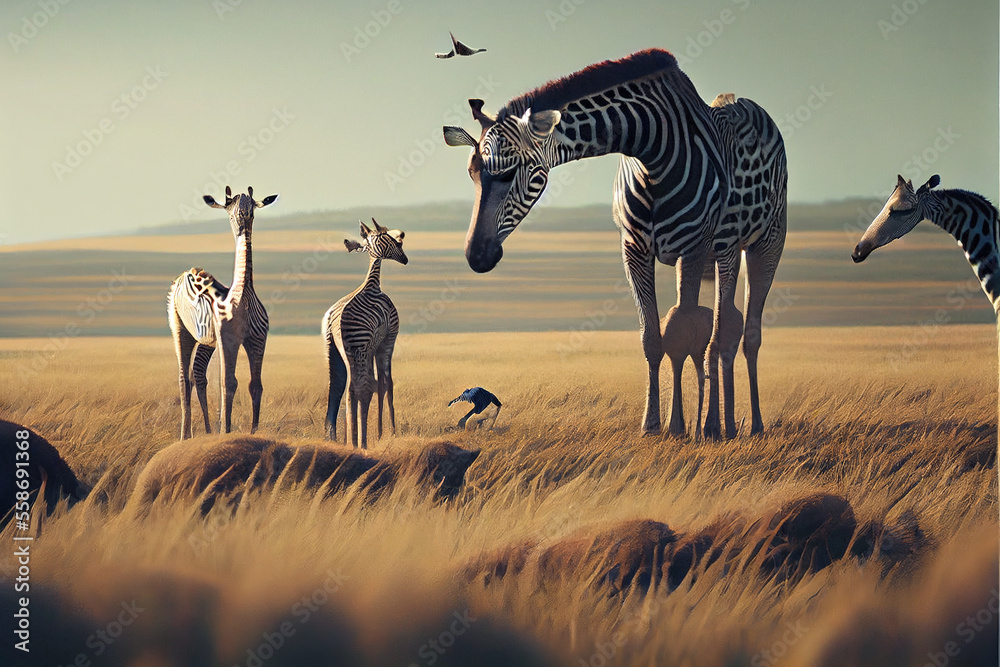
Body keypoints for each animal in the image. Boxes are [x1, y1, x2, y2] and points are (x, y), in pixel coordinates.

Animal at [167, 185, 278, 440]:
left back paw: (207, 431)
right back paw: (185, 436)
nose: (242, 220)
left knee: (198, 375)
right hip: (179, 328)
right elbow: (229, 383)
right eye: (230, 211)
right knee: (183, 378)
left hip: (206, 340)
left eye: (252, 210)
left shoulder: (257, 340)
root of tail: (185, 274)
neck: (243, 294)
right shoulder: (229, 339)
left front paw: (252, 432)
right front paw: (225, 431)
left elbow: (255, 385)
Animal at [323, 219, 408, 448]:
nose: (405, 259)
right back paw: (359, 442)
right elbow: (387, 383)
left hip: (336, 350)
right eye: (387, 236)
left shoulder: (371, 348)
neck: (372, 284)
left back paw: (341, 439)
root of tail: (334, 318)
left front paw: (378, 433)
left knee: (341, 388)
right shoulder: (388, 340)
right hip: (359, 348)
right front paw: (389, 433)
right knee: (362, 387)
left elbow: (377, 384)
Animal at [443, 49, 786, 439]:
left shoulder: (694, 248)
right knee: (725, 328)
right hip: (725, 252)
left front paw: (679, 426)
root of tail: (741, 101)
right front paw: (653, 424)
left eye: (507, 174)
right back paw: (726, 424)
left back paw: (742, 424)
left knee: (744, 333)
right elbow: (652, 339)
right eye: (471, 173)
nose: (476, 256)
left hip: (765, 244)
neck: (652, 150)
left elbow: (682, 333)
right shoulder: (634, 250)